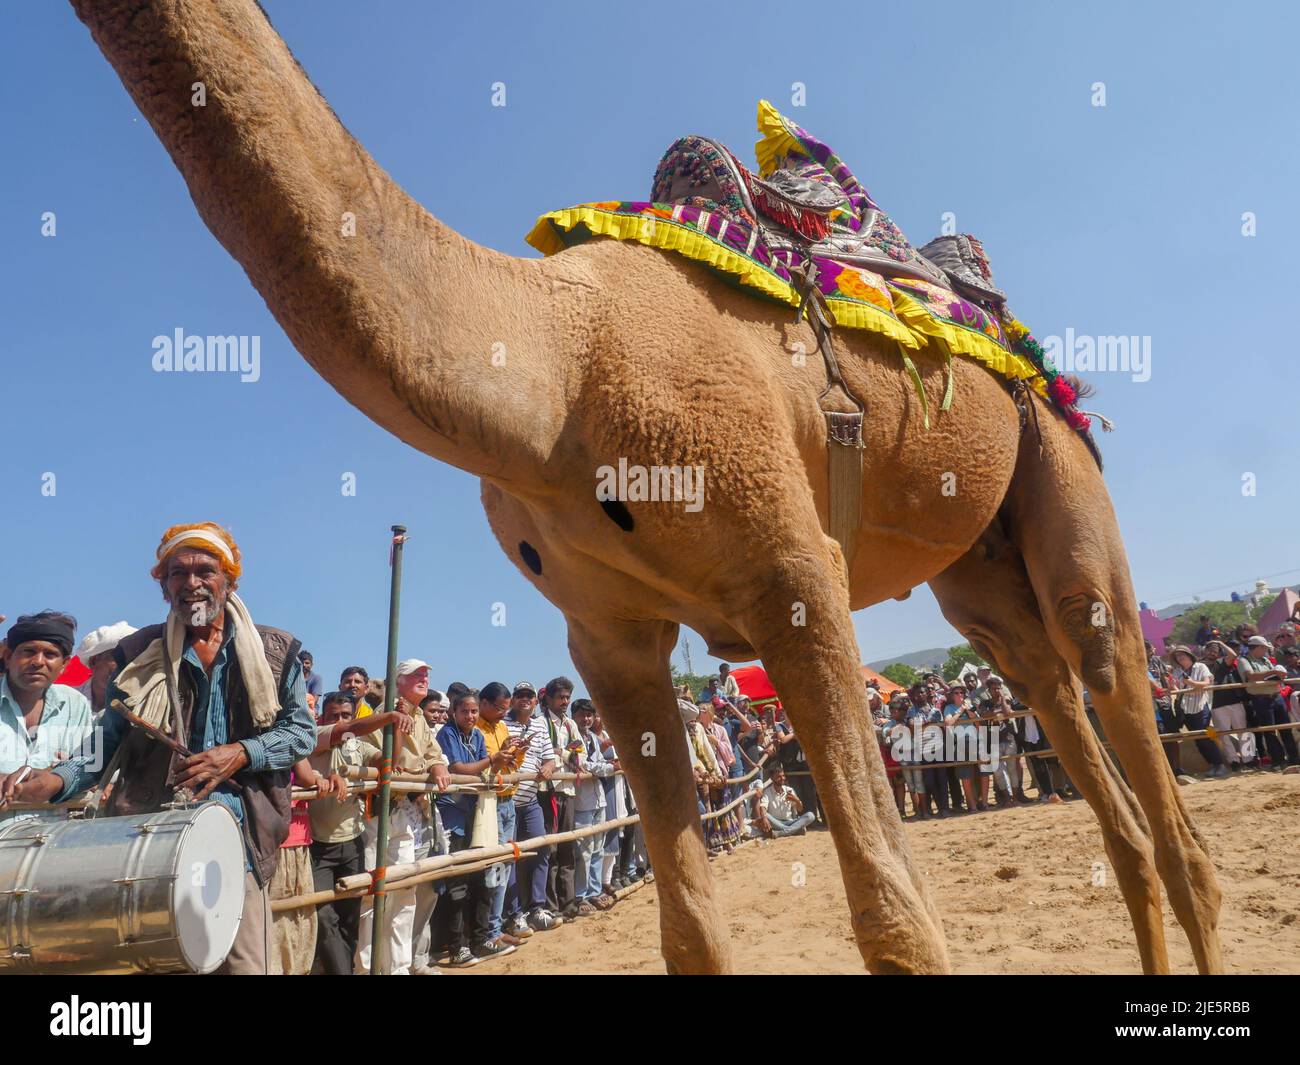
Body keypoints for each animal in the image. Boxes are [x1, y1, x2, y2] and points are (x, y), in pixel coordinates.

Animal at [67, 0, 1223, 974]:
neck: (556, 363)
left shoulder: (796, 577)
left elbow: (896, 915)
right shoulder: (607, 639)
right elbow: (692, 932)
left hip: (1060, 472)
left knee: (1143, 754)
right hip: (979, 580)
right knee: (1079, 751)